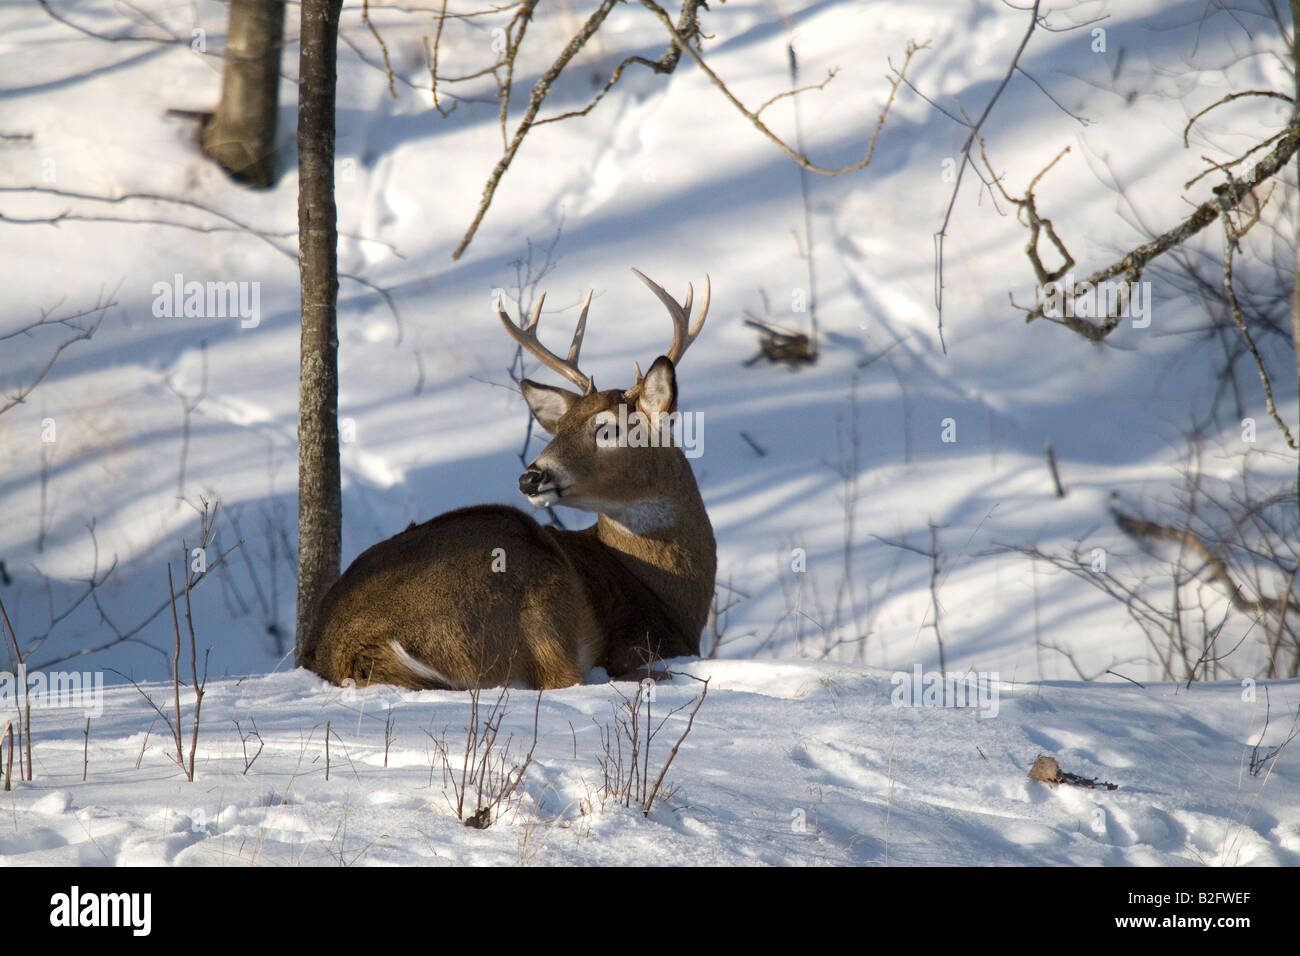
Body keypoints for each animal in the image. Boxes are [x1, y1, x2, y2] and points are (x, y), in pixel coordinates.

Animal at [301, 269, 716, 691]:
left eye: (608, 429)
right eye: (560, 428)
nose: (530, 477)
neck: (669, 596)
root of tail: (354, 648)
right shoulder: (641, 640)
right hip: (533, 594)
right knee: (564, 678)